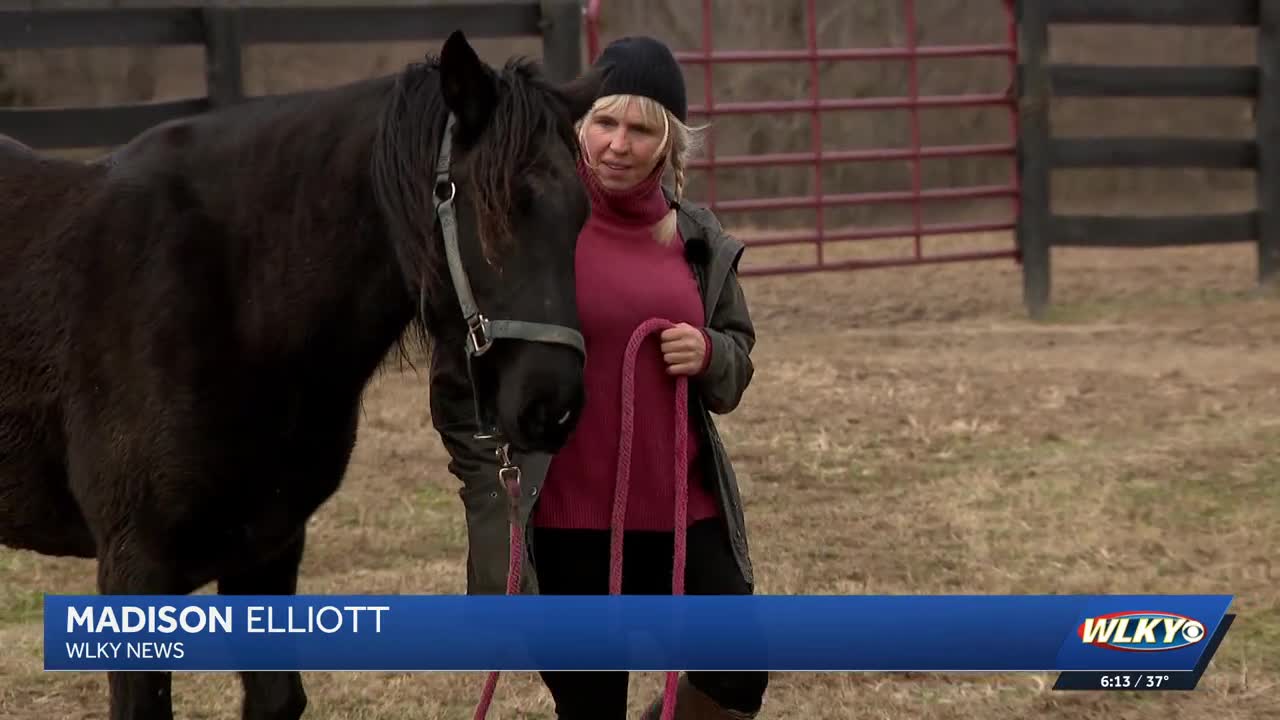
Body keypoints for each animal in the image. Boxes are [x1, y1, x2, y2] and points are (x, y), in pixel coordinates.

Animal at [0, 30, 603, 720]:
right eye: (496, 205)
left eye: (581, 215)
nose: (552, 405)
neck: (233, 297)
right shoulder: (136, 566)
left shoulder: (268, 548)